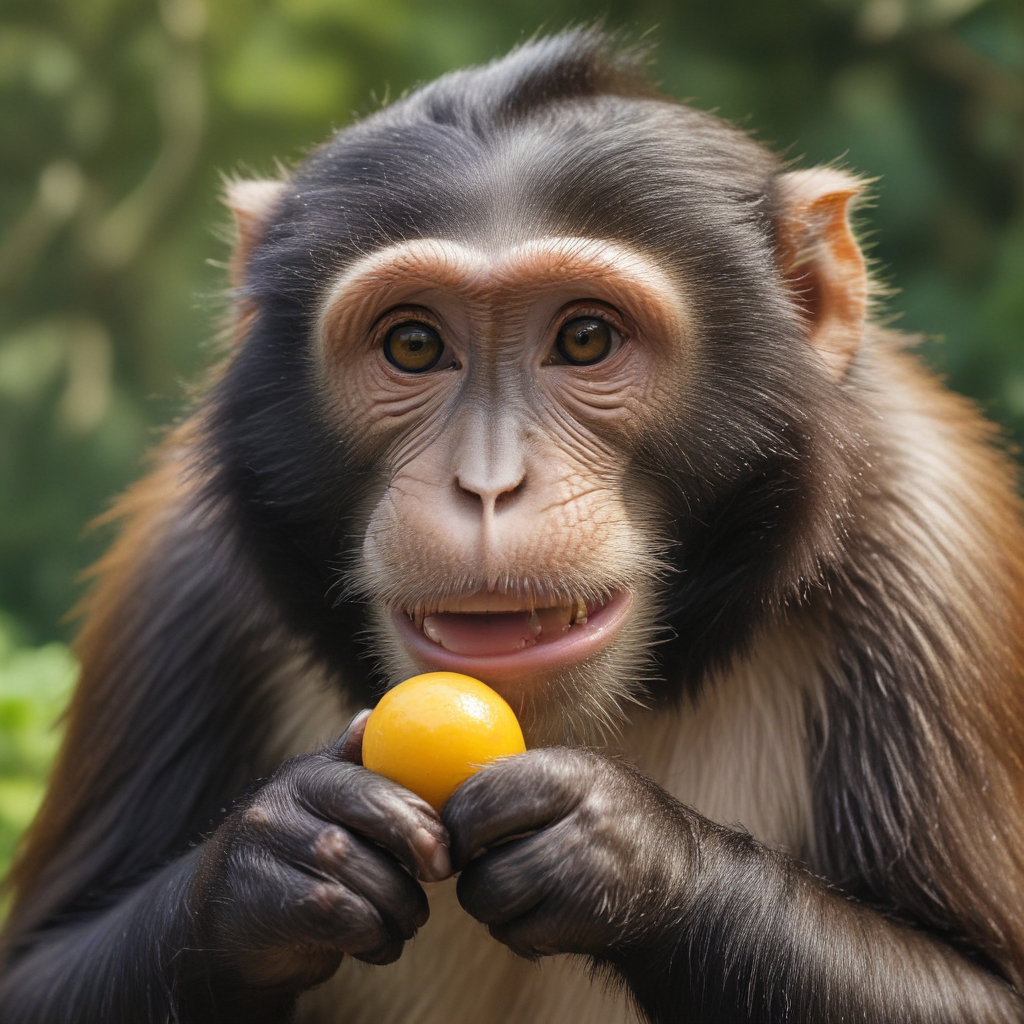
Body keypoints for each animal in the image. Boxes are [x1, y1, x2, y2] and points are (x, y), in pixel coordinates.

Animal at [2, 26, 1024, 1024]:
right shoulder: (177, 574)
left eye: (586, 339)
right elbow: (39, 973)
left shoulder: (931, 549)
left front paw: (622, 848)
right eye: (414, 345)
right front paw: (278, 861)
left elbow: (987, 990)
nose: (488, 484)